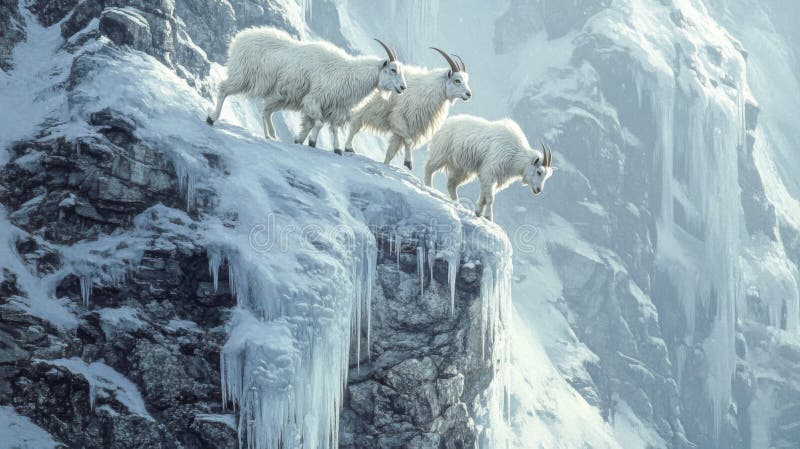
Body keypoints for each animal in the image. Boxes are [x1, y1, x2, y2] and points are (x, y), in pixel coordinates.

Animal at [206, 27, 406, 151]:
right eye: (393, 70)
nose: (403, 87)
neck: (346, 72)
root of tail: (239, 39)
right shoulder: (314, 99)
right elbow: (318, 123)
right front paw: (311, 141)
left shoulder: (334, 107)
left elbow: (328, 127)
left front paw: (333, 148)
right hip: (242, 77)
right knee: (223, 89)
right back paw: (211, 118)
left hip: (278, 95)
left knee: (266, 111)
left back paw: (271, 136)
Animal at [341, 48, 471, 168]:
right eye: (457, 80)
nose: (468, 94)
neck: (427, 90)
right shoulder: (398, 118)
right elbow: (408, 140)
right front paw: (408, 162)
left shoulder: (400, 131)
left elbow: (391, 152)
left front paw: (386, 165)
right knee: (354, 125)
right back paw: (348, 148)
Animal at [424, 115, 557, 221]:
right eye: (539, 172)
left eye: (547, 176)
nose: (538, 190)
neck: (515, 154)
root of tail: (444, 124)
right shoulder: (489, 173)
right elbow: (490, 198)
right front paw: (488, 217)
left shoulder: (491, 178)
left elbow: (484, 196)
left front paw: (478, 212)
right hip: (442, 154)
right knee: (429, 167)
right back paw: (428, 187)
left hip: (462, 169)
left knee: (451, 184)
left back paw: (456, 203)